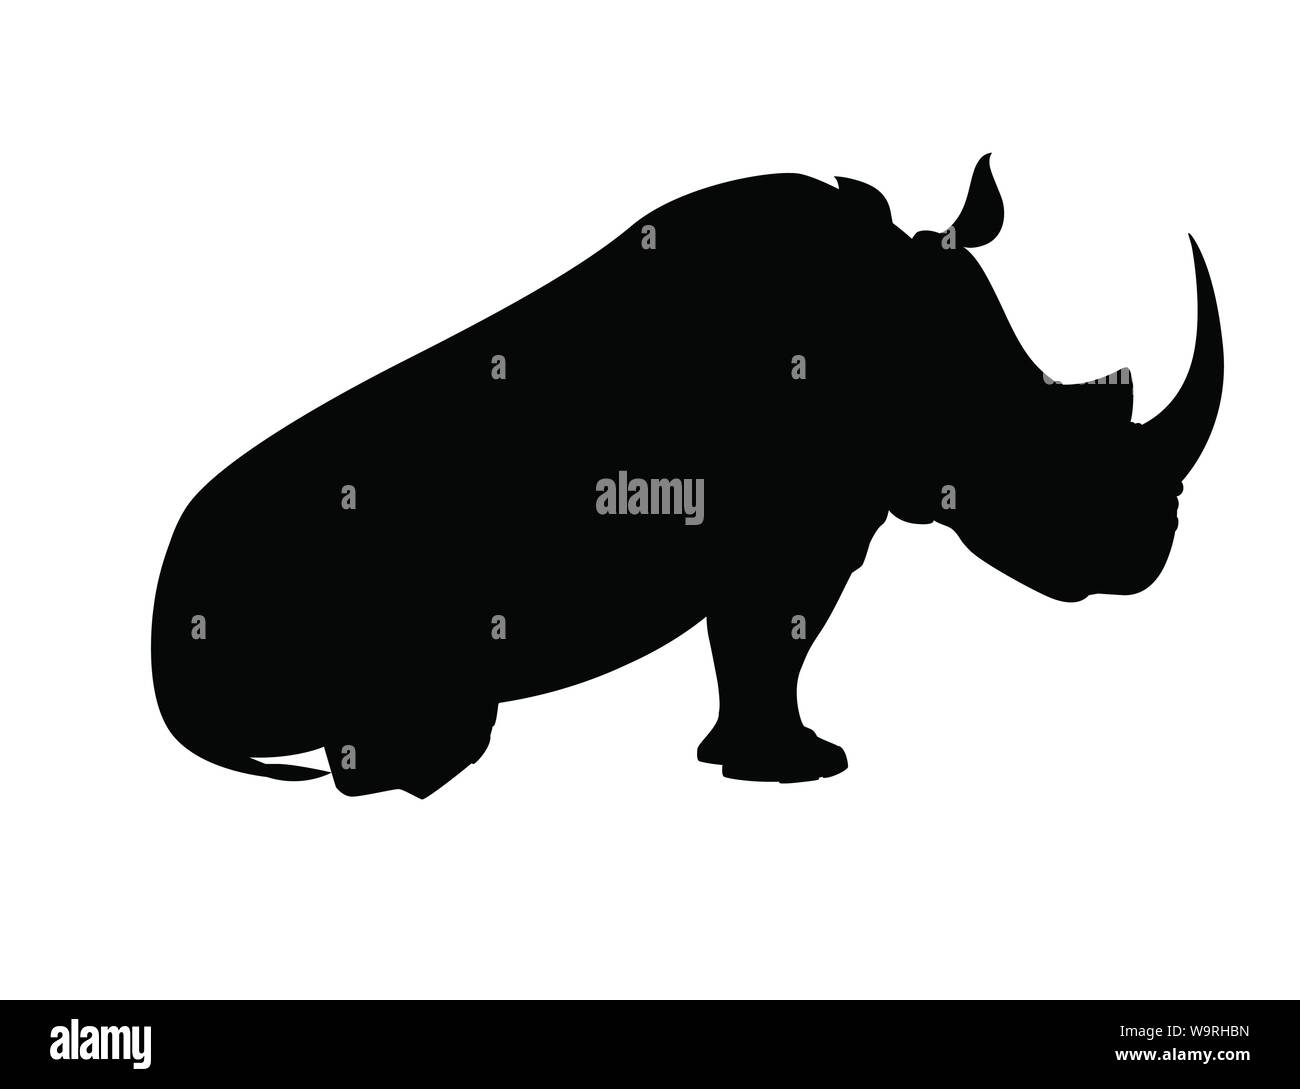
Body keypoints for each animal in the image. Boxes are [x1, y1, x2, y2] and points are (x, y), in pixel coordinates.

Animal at [151, 155, 1222, 796]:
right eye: (1046, 450)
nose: (1150, 553)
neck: (908, 345)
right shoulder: (792, 528)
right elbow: (768, 641)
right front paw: (799, 771)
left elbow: (769, 648)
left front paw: (765, 760)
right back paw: (430, 758)